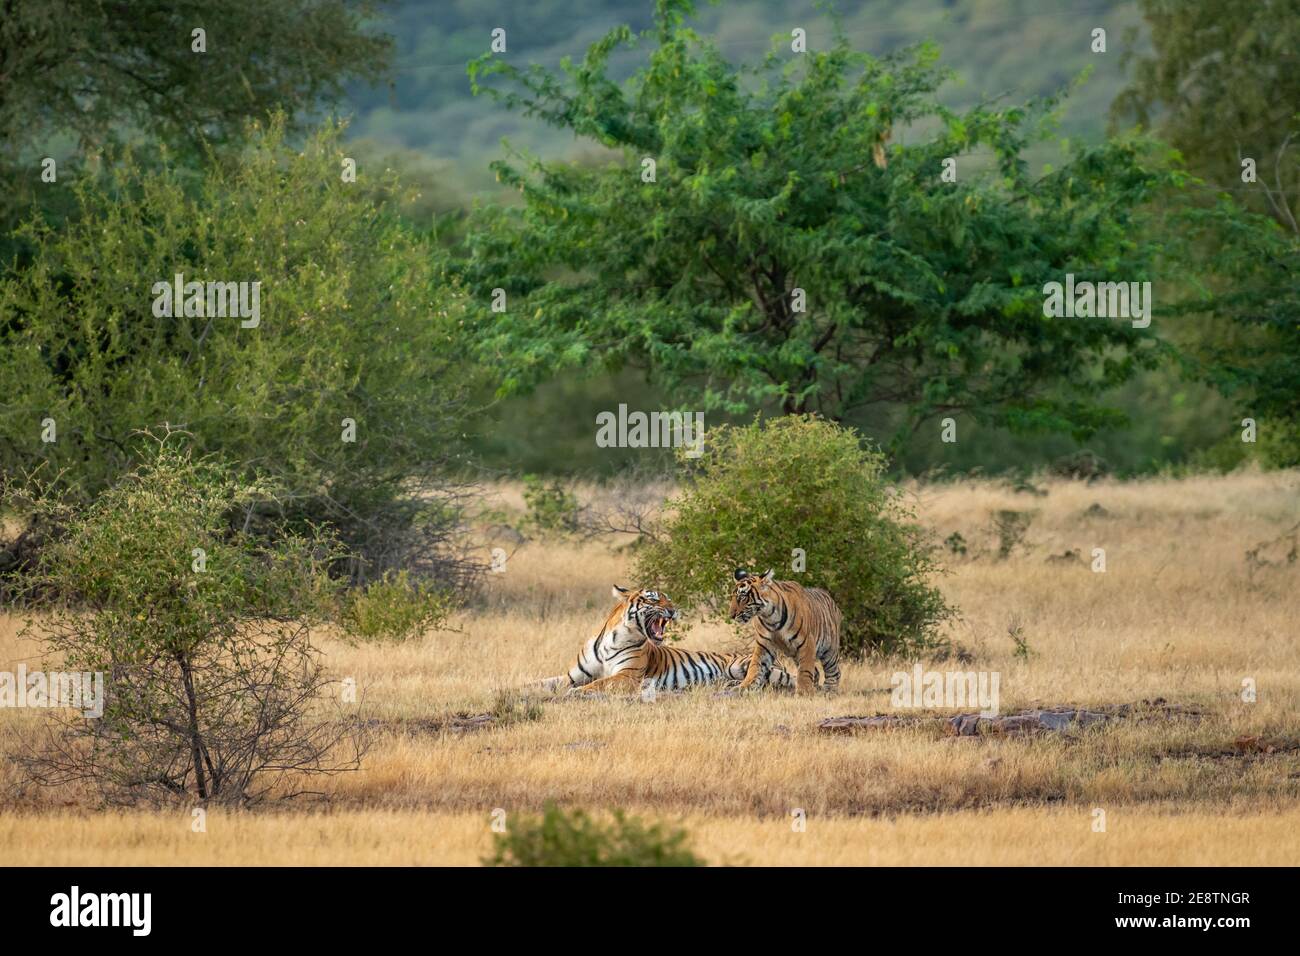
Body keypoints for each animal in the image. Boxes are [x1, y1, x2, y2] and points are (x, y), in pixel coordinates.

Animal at [535, 585, 793, 695]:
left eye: (668, 598)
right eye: (654, 599)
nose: (674, 609)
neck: (615, 639)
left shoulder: (627, 675)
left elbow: (598, 684)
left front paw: (575, 693)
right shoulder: (572, 675)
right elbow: (541, 682)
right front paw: (526, 688)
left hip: (742, 665)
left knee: (769, 680)